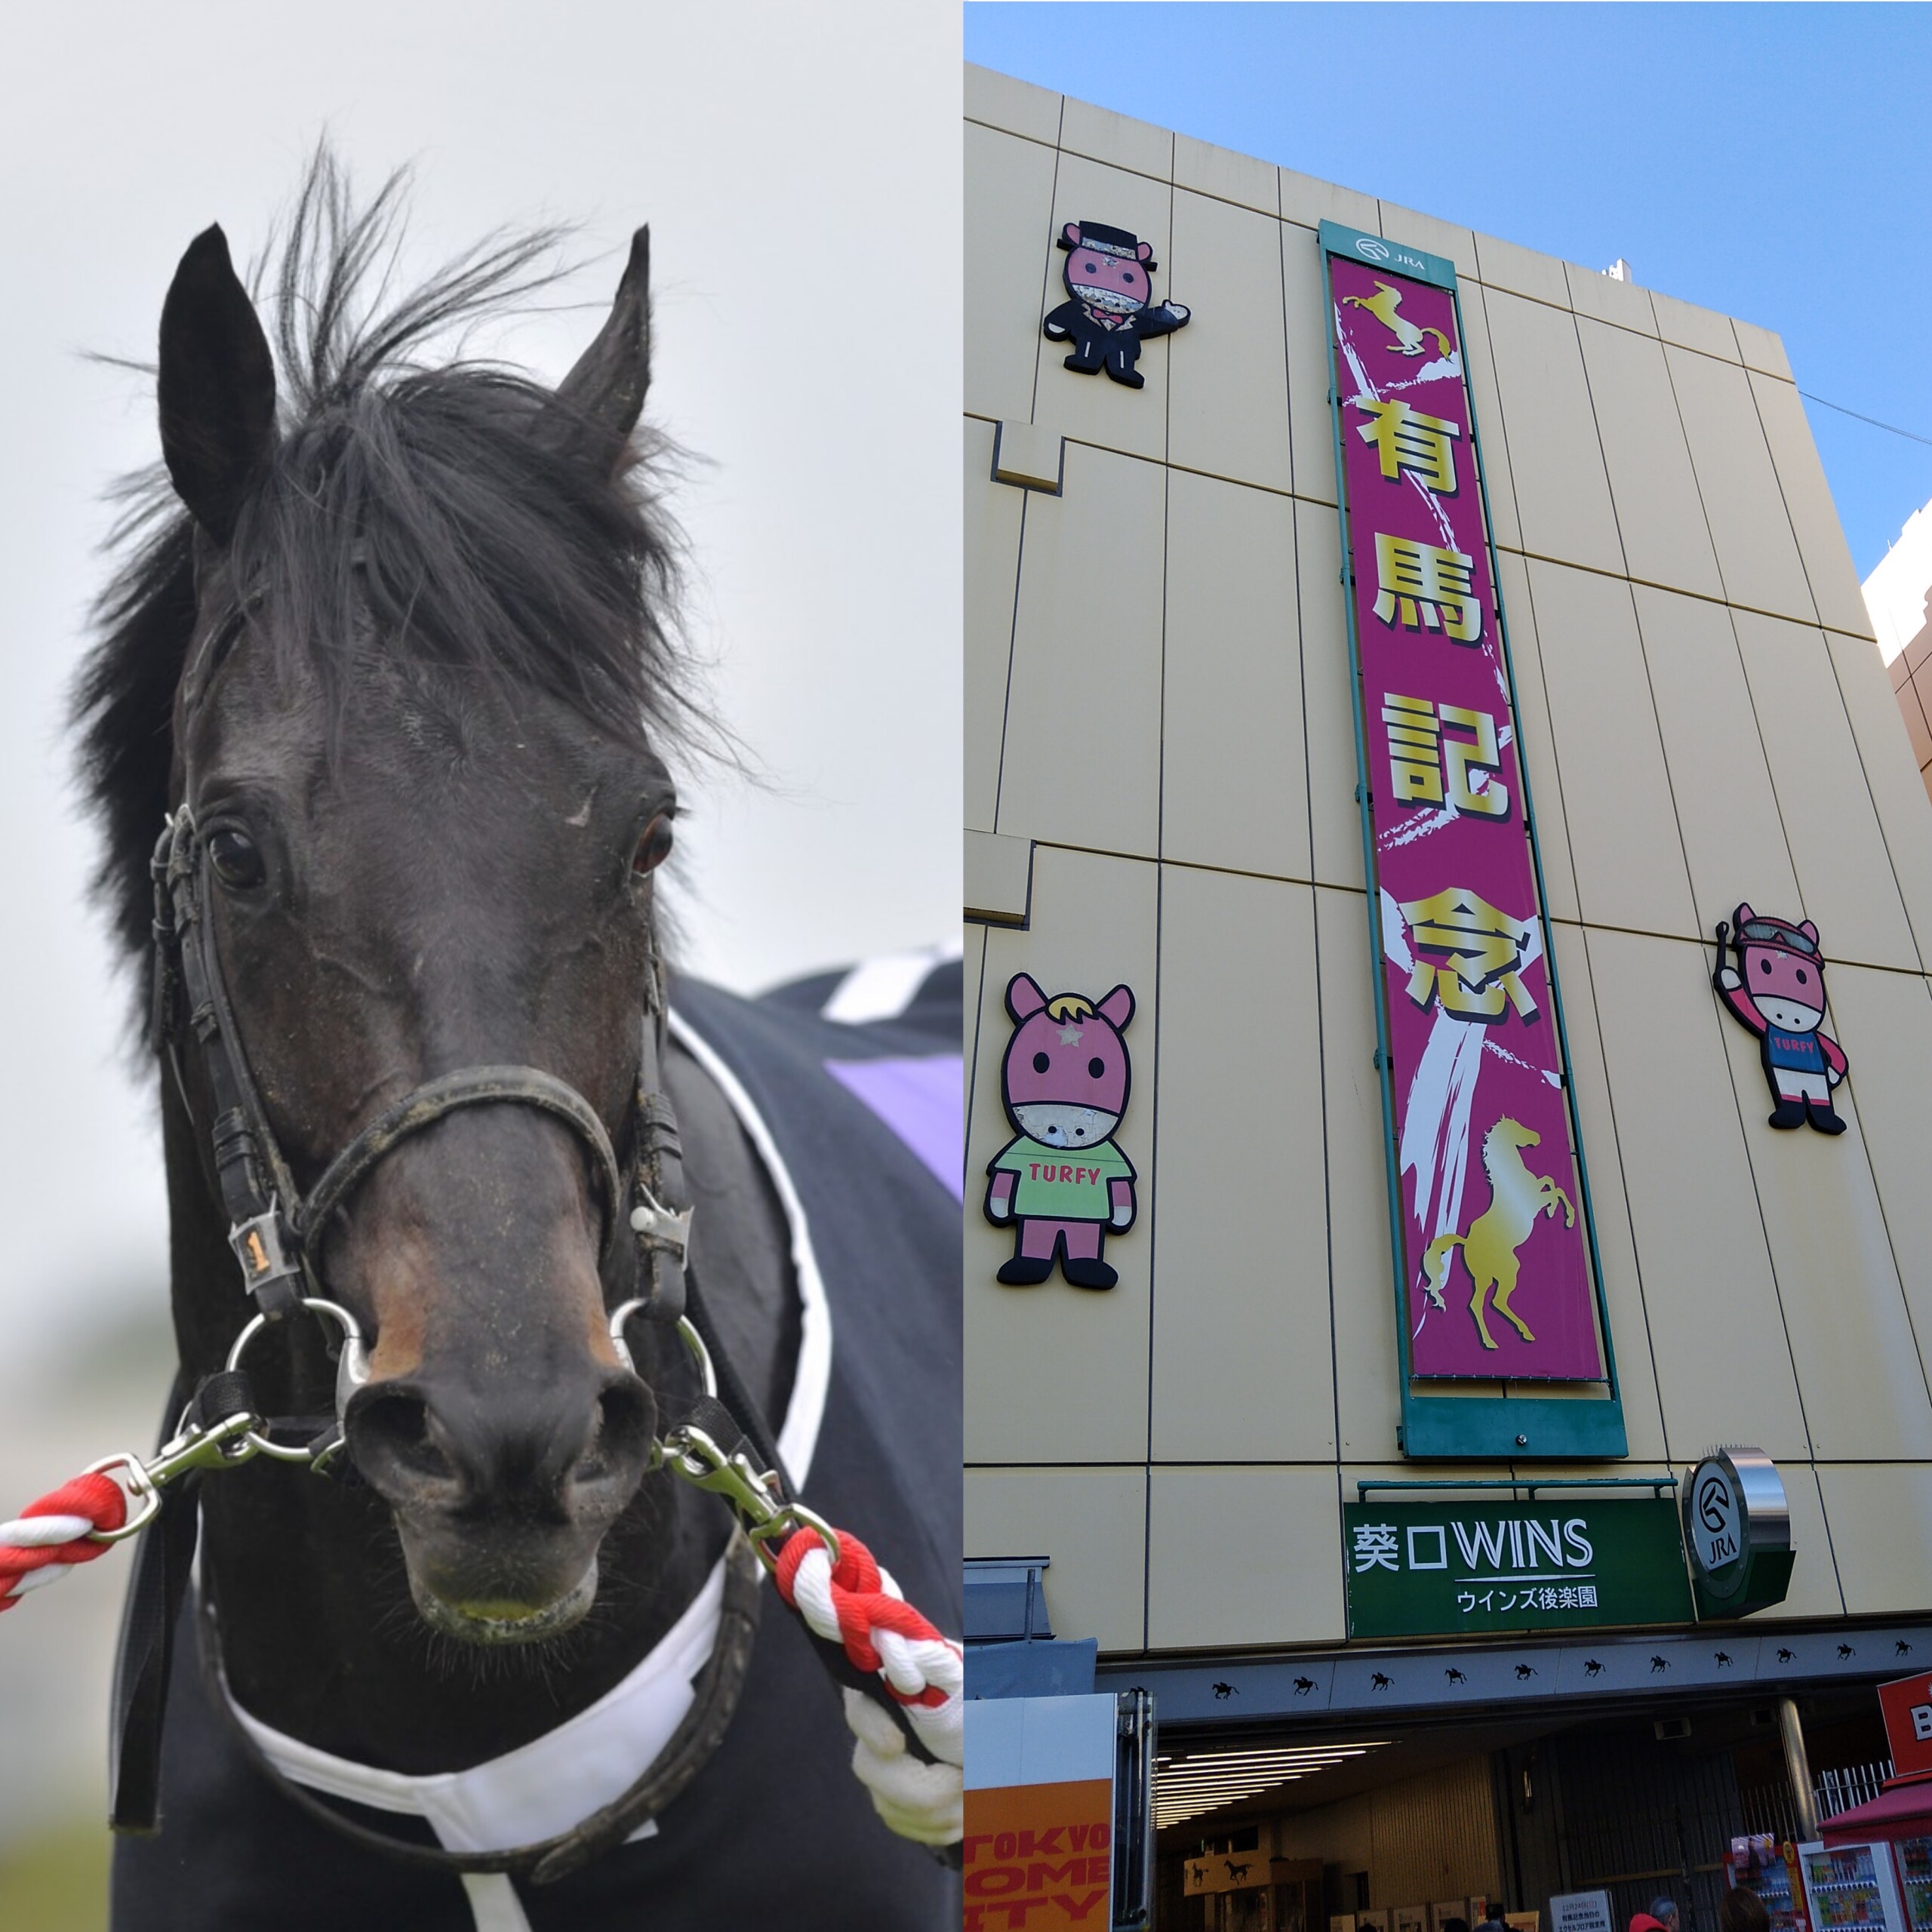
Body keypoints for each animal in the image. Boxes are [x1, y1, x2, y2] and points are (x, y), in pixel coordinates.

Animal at [1419, 1116, 1574, 1350]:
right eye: (1517, 1128)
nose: (1537, 1137)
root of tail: (1466, 1242)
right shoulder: (1533, 1203)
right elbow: (1557, 1191)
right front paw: (1563, 1215)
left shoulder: (1537, 1189)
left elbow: (1550, 1181)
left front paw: (1555, 1211)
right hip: (1500, 1273)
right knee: (1489, 1302)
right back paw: (1504, 1338)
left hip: (1490, 1276)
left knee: (1486, 1303)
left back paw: (1507, 1336)